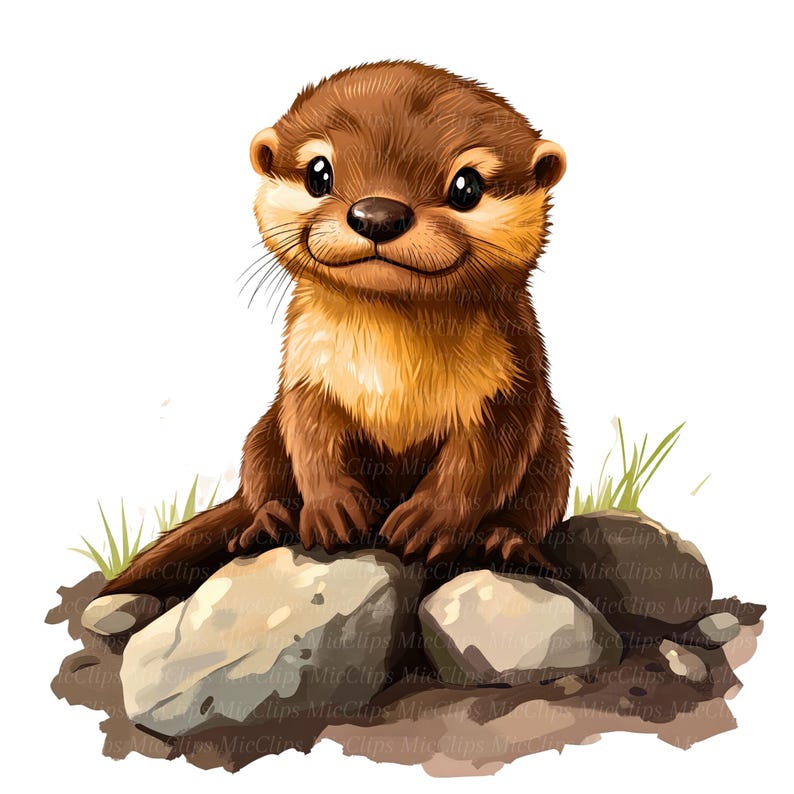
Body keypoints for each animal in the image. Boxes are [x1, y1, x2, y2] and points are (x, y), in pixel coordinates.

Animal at [100, 60, 572, 599]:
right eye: (318, 172)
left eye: (466, 186)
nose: (378, 214)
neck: (393, 377)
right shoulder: (307, 374)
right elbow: (311, 439)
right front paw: (332, 510)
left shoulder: (509, 385)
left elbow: (483, 461)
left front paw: (429, 520)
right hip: (262, 431)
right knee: (260, 475)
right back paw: (266, 523)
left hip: (555, 450)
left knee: (537, 502)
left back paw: (505, 544)